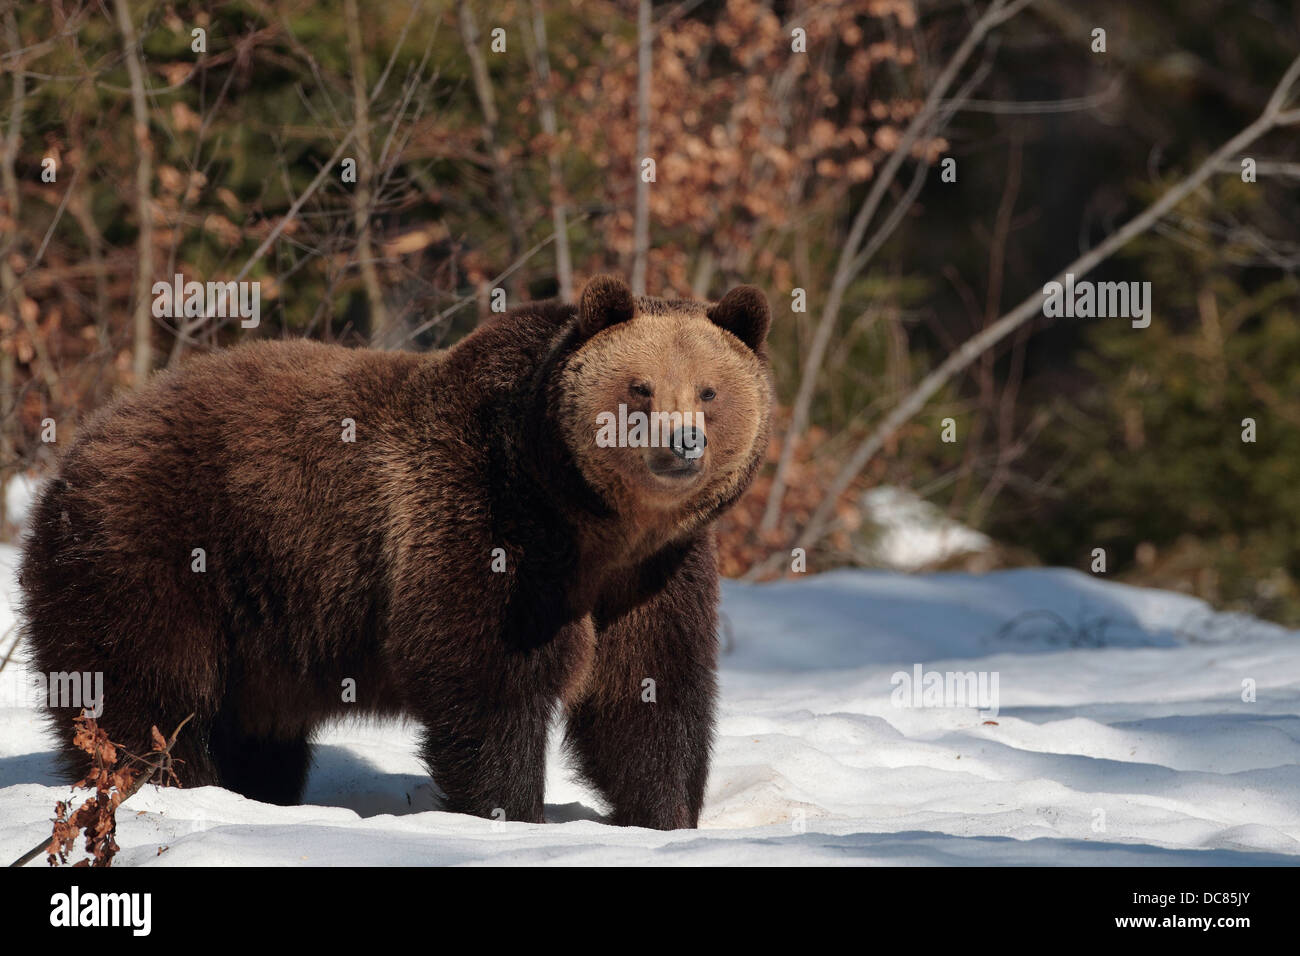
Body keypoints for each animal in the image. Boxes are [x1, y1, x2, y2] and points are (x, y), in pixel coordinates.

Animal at [19, 274, 773, 830]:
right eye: (640, 387)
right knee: (143, 690)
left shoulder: (652, 573)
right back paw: (173, 785)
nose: (681, 443)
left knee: (255, 730)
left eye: (710, 390)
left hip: (256, 624)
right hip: (155, 548)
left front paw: (666, 817)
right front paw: (508, 810)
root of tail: (82, 442)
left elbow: (649, 693)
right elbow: (484, 676)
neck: (589, 519)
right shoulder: (486, 522)